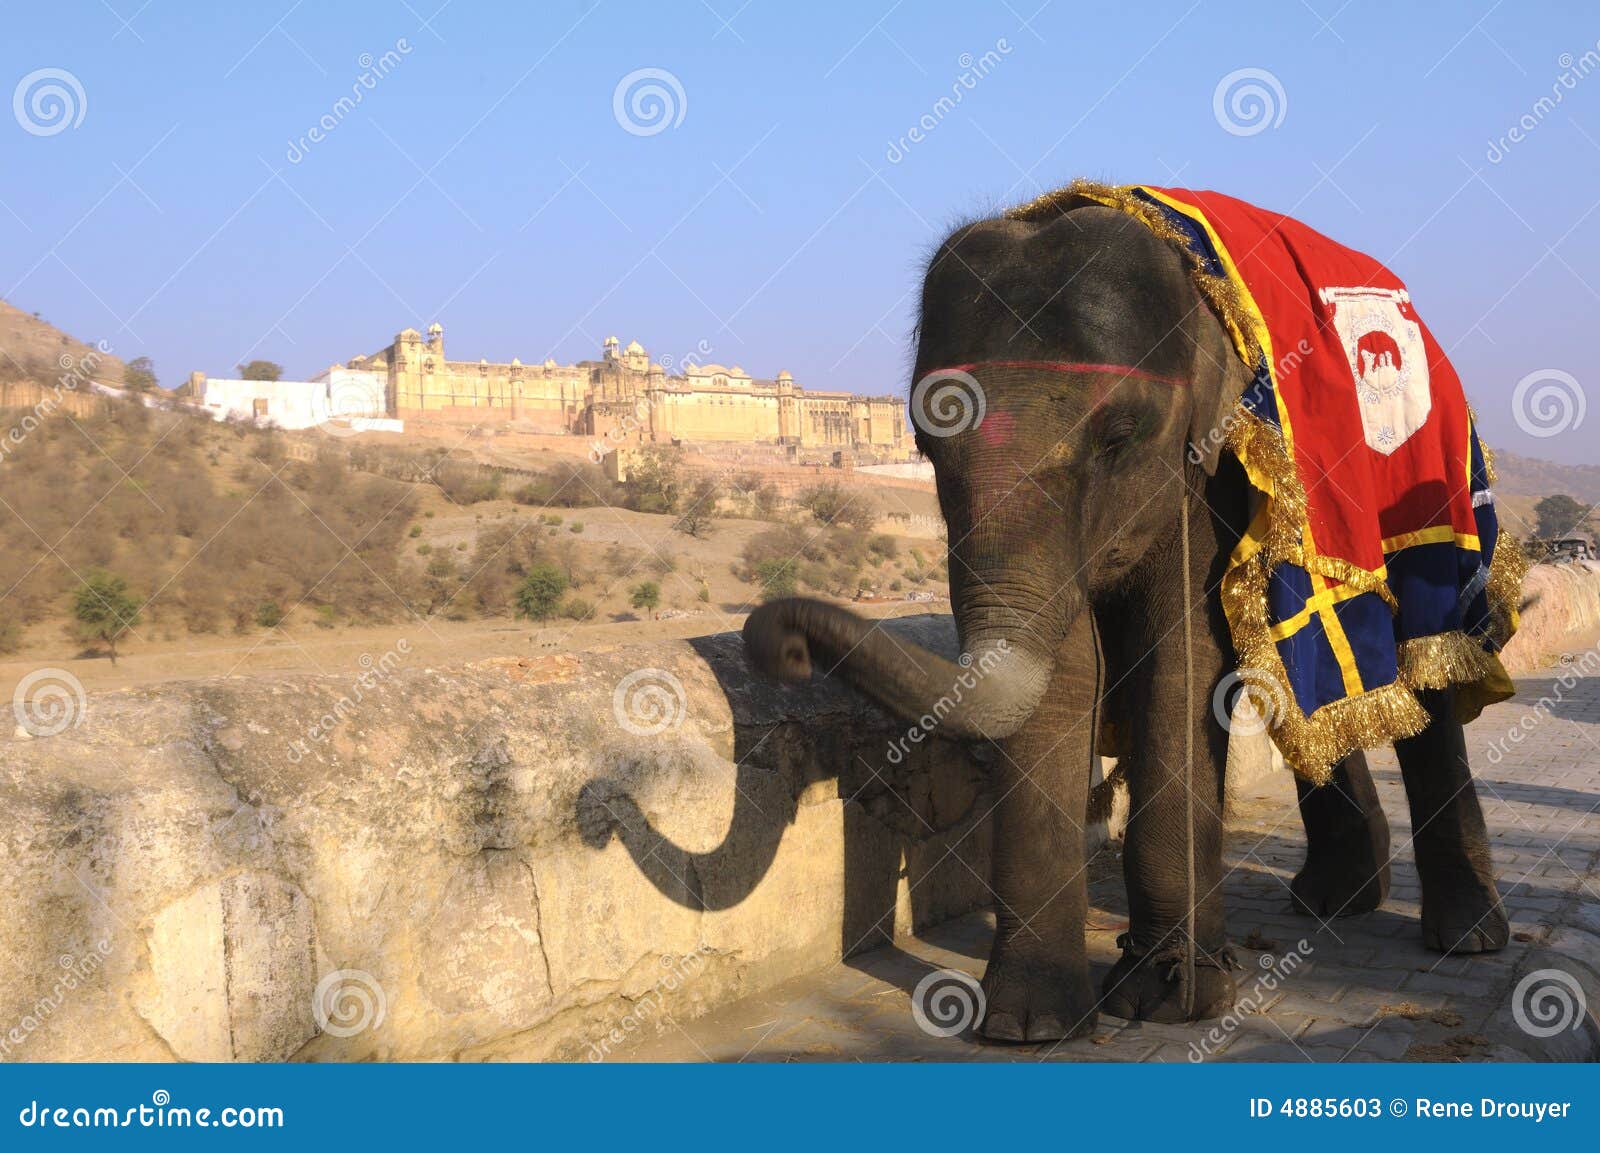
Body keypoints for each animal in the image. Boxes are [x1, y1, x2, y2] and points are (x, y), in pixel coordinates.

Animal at [741, 198, 1510, 1043]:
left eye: (1118, 437)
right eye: (923, 443)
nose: (780, 644)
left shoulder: (1209, 466)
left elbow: (1184, 656)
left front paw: (1172, 997)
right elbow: (1066, 669)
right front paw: (1031, 1024)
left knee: (1425, 673)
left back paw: (1467, 934)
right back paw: (1338, 896)